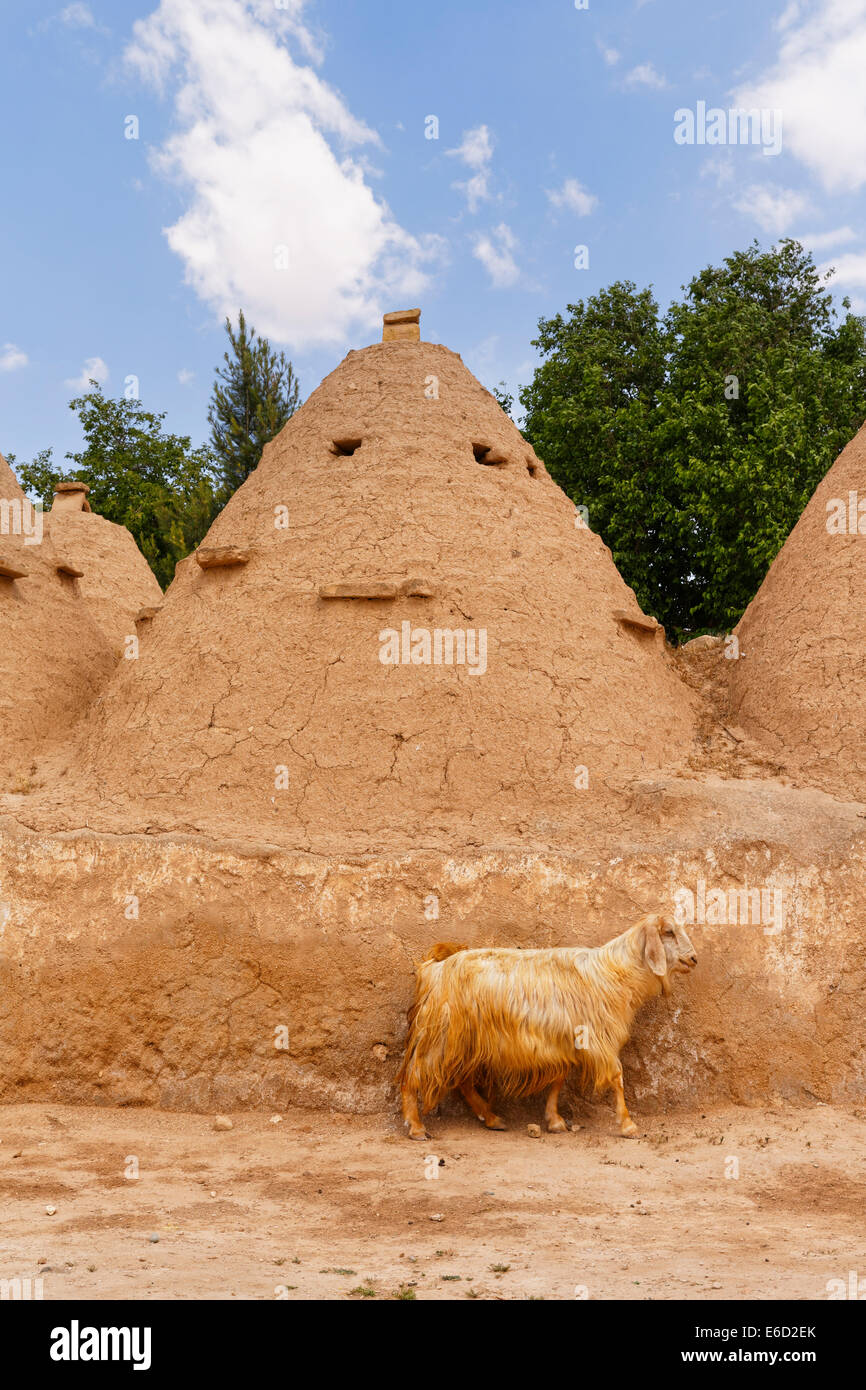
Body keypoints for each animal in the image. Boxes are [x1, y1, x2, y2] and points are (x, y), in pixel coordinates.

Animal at [397, 913, 697, 1139]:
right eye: (669, 932)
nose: (694, 958)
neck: (615, 972)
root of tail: (433, 968)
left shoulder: (561, 1039)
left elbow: (557, 1080)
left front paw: (555, 1121)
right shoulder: (597, 1037)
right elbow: (616, 1077)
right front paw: (628, 1125)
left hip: (465, 1041)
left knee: (463, 1081)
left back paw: (492, 1118)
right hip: (439, 1037)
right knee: (413, 1076)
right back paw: (416, 1127)